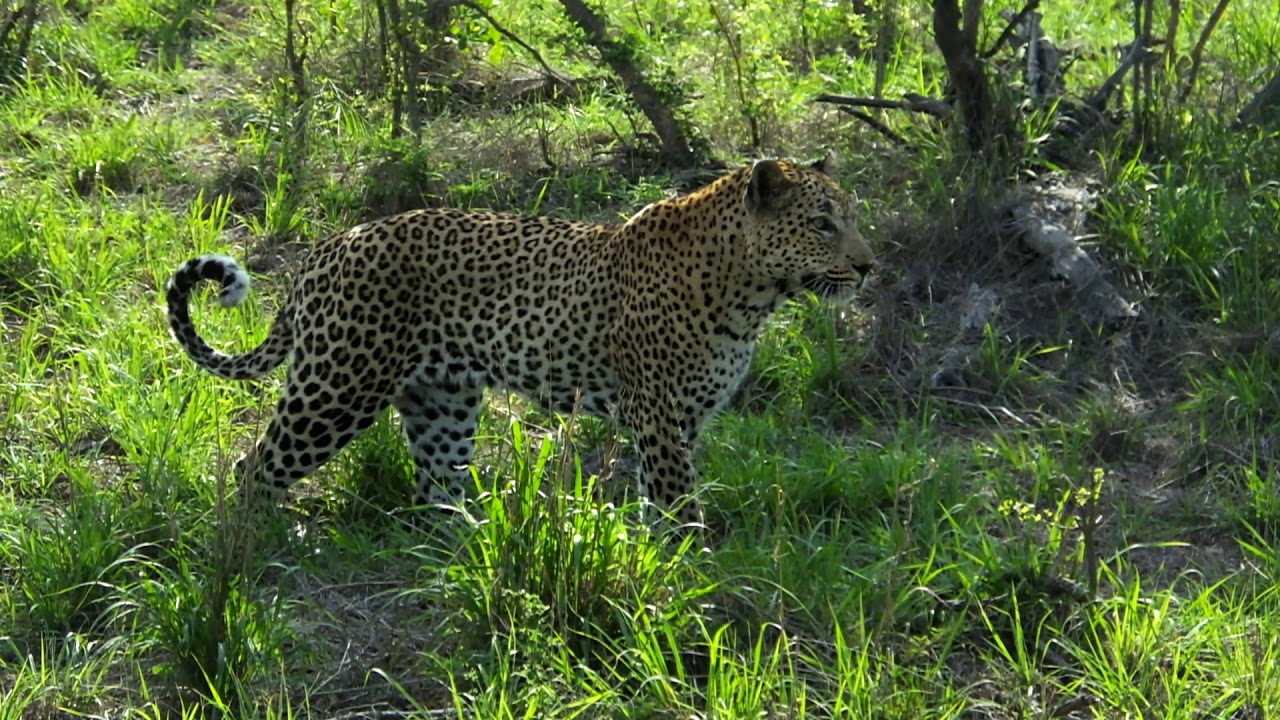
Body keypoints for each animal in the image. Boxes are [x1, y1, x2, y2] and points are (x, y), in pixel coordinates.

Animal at [165, 154, 876, 526]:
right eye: (822, 223)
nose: (870, 266)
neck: (753, 291)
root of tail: (325, 249)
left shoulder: (686, 419)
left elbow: (663, 496)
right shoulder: (658, 413)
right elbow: (677, 500)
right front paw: (689, 570)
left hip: (442, 402)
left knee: (434, 491)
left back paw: (464, 556)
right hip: (337, 389)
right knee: (255, 466)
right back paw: (253, 554)